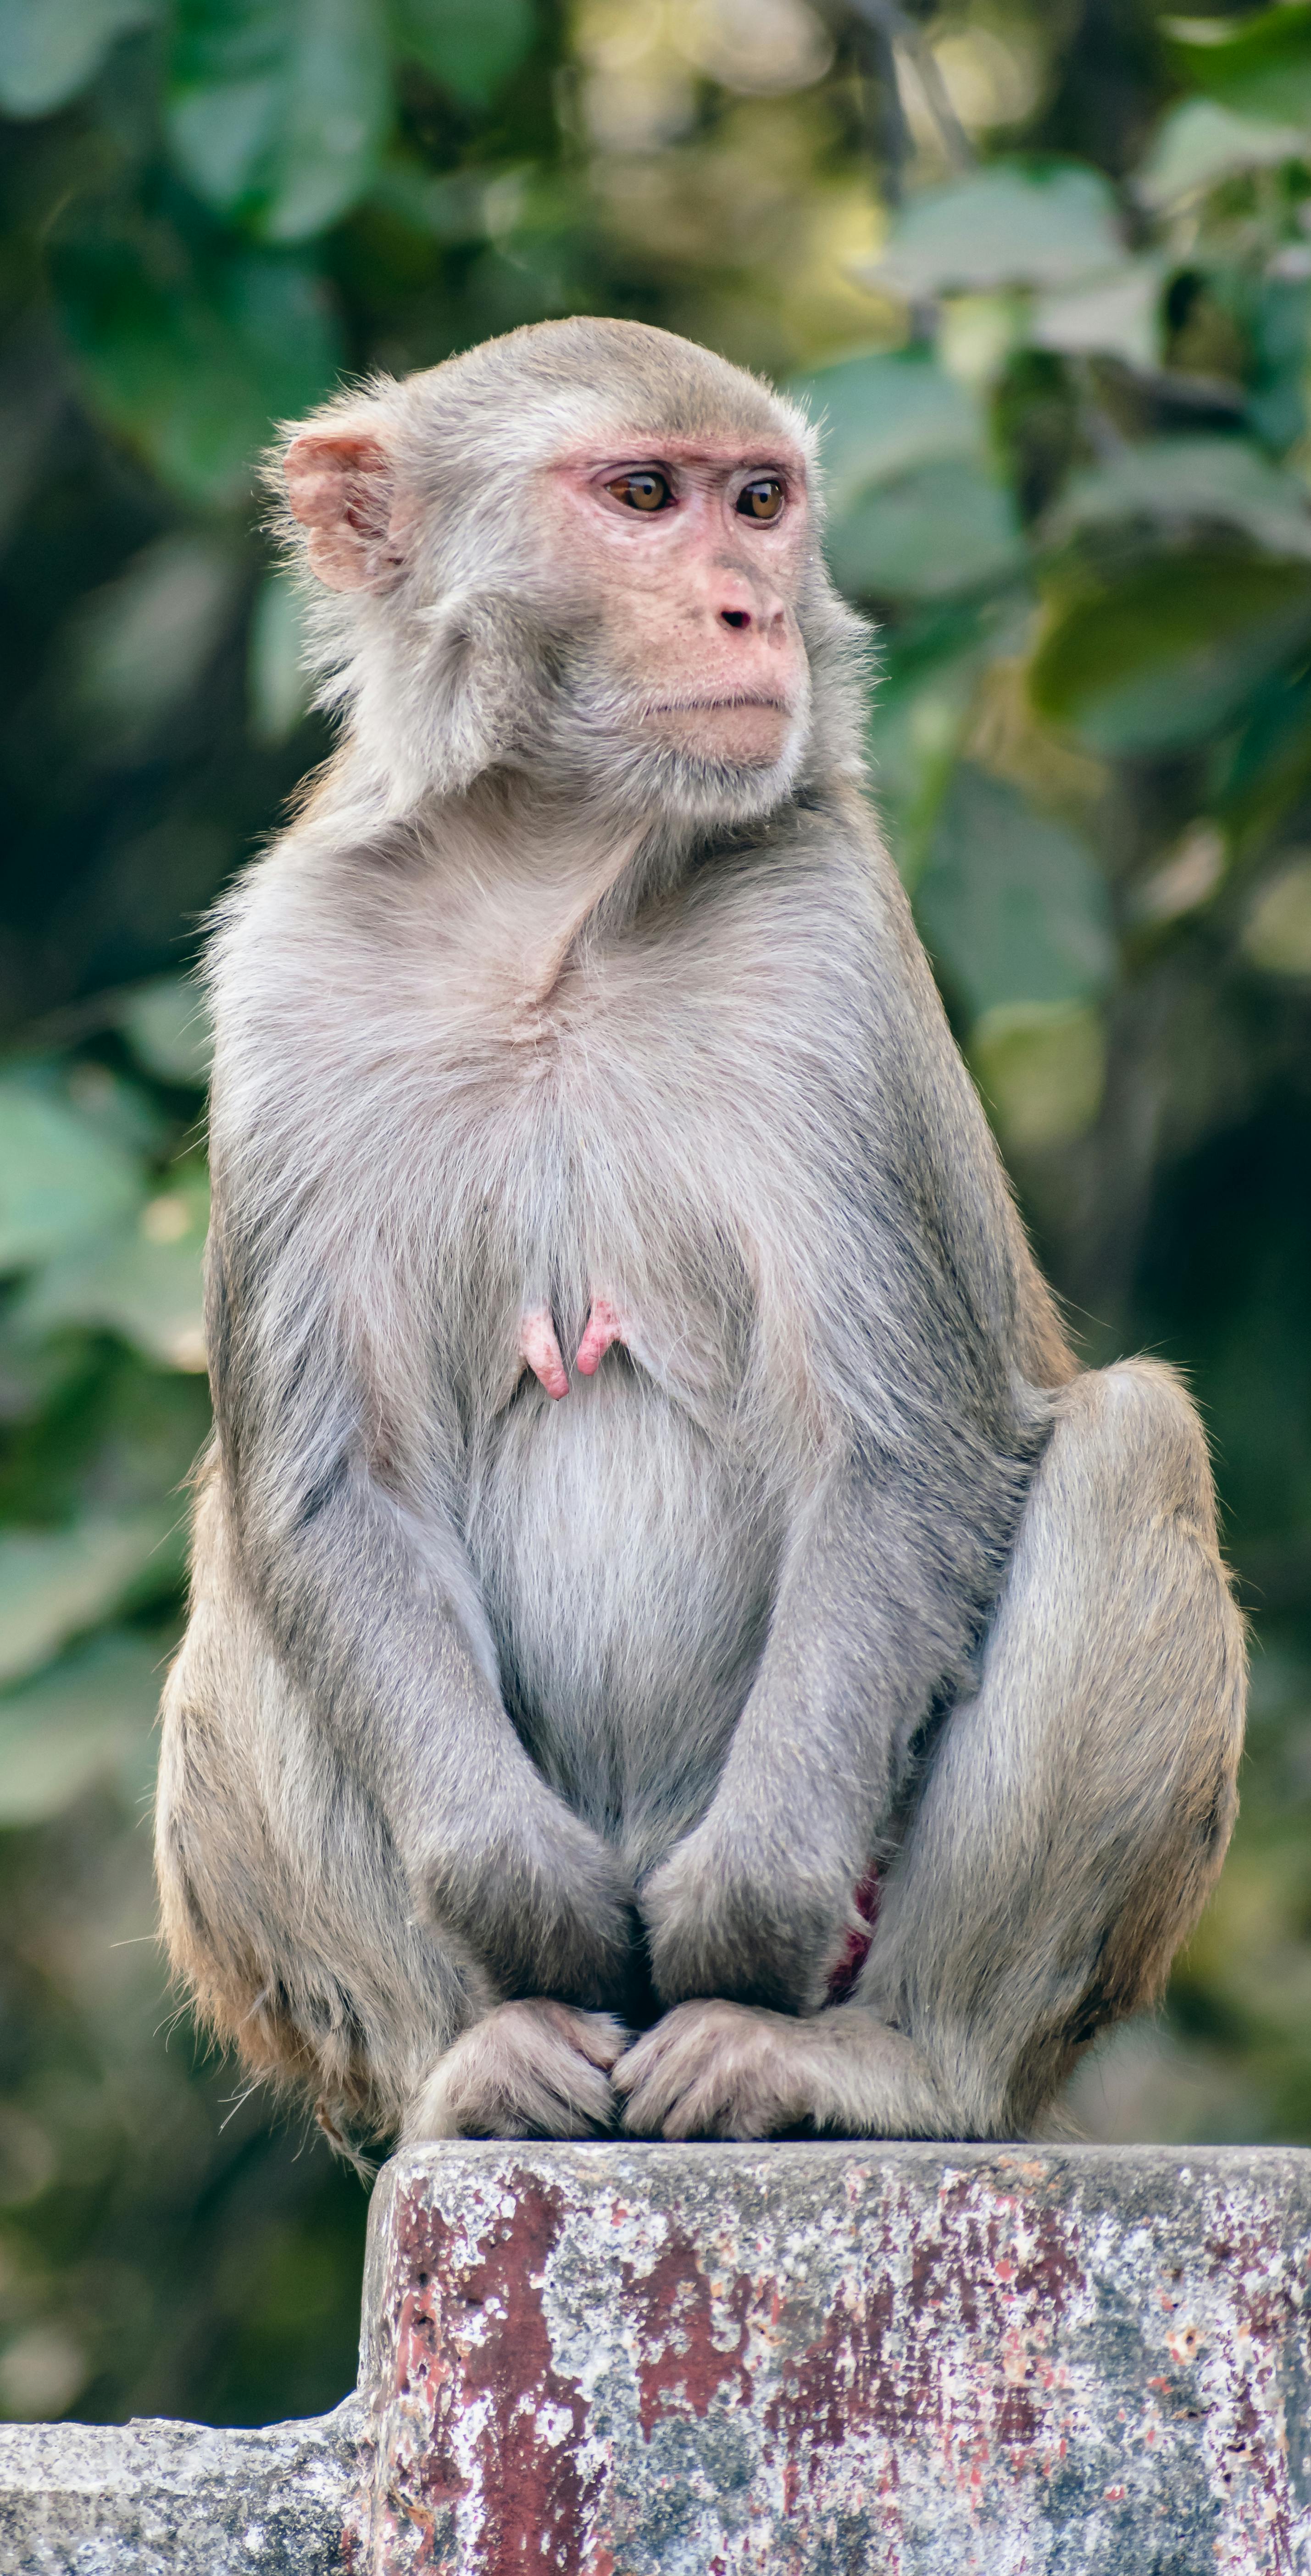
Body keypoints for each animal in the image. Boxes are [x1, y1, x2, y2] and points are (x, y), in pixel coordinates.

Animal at [154, 316, 1245, 2155]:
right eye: (645, 499)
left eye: (758, 502)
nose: (749, 608)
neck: (549, 895)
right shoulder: (288, 968)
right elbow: (328, 1487)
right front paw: (526, 1910)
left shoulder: (822, 944)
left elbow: (896, 1453)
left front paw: (744, 1924)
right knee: (247, 1546)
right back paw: (474, 2050)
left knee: (1127, 1442)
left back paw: (875, 2058)